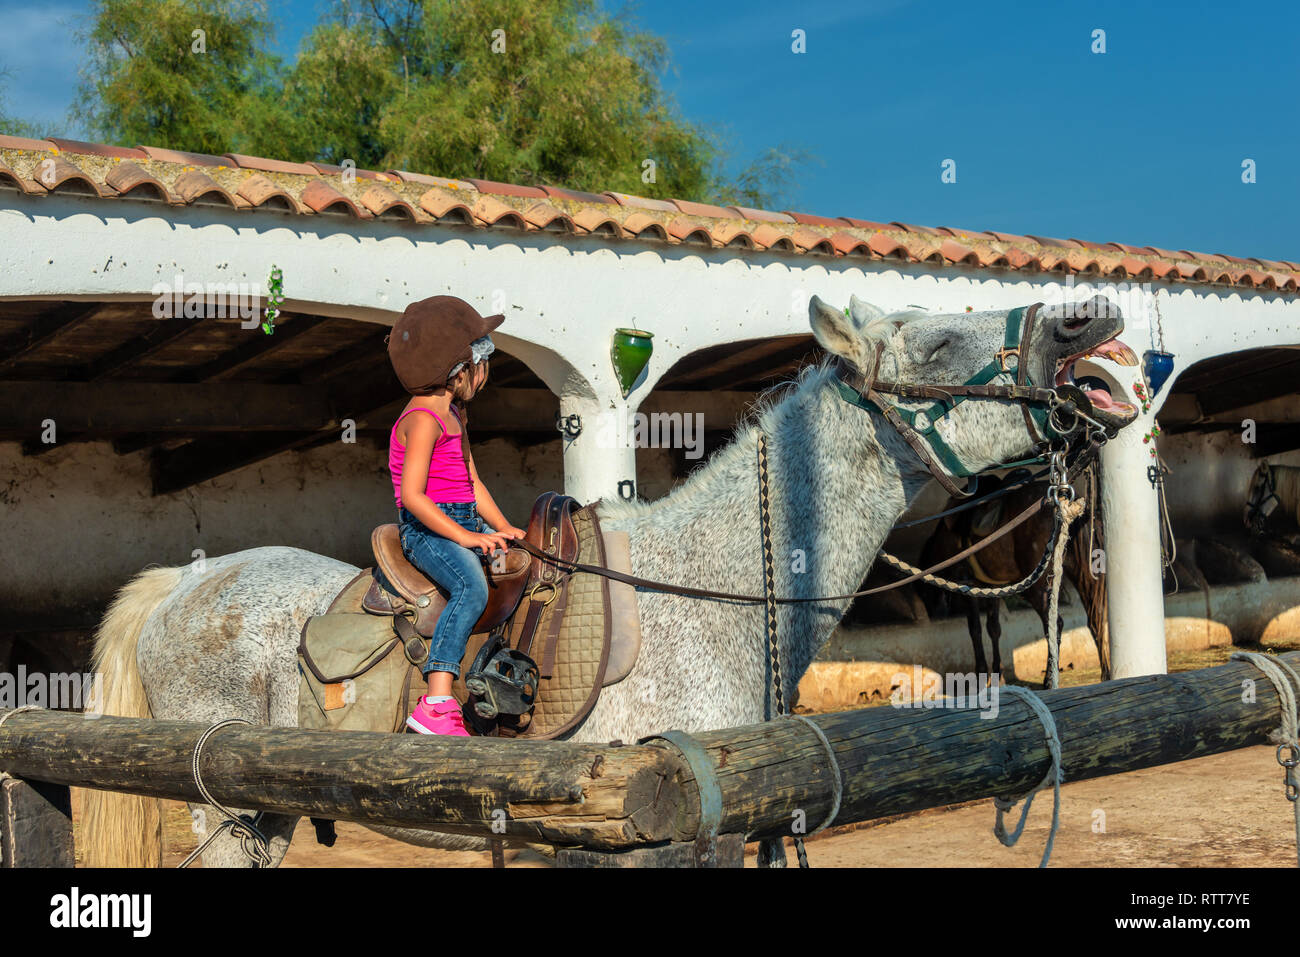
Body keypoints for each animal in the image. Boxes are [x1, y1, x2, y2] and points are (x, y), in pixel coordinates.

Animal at [917, 465, 1110, 682]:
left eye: (924, 592)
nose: (936, 614)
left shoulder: (967, 583)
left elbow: (975, 629)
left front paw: (981, 673)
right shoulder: (991, 586)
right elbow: (993, 628)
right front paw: (997, 674)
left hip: (1037, 586)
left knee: (1055, 624)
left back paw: (1048, 679)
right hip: (1079, 575)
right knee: (1096, 618)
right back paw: (1106, 673)